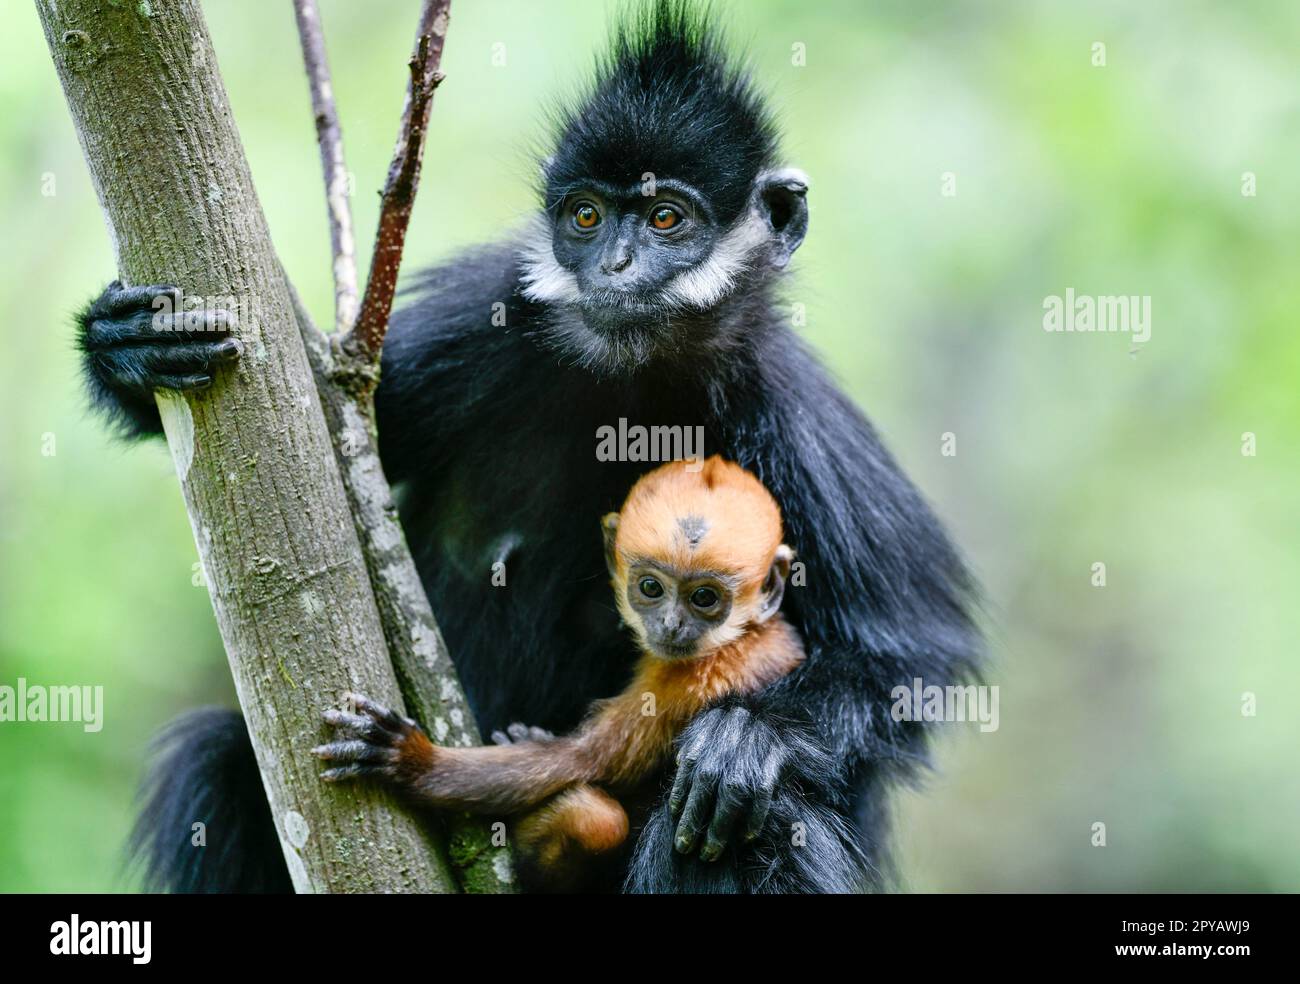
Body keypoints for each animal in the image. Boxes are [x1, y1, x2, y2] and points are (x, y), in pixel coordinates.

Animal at [309, 457, 855, 890]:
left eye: (704, 598)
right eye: (651, 587)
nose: (672, 624)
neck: (742, 637)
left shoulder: (683, 682)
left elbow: (577, 761)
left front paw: (411, 760)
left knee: (595, 817)